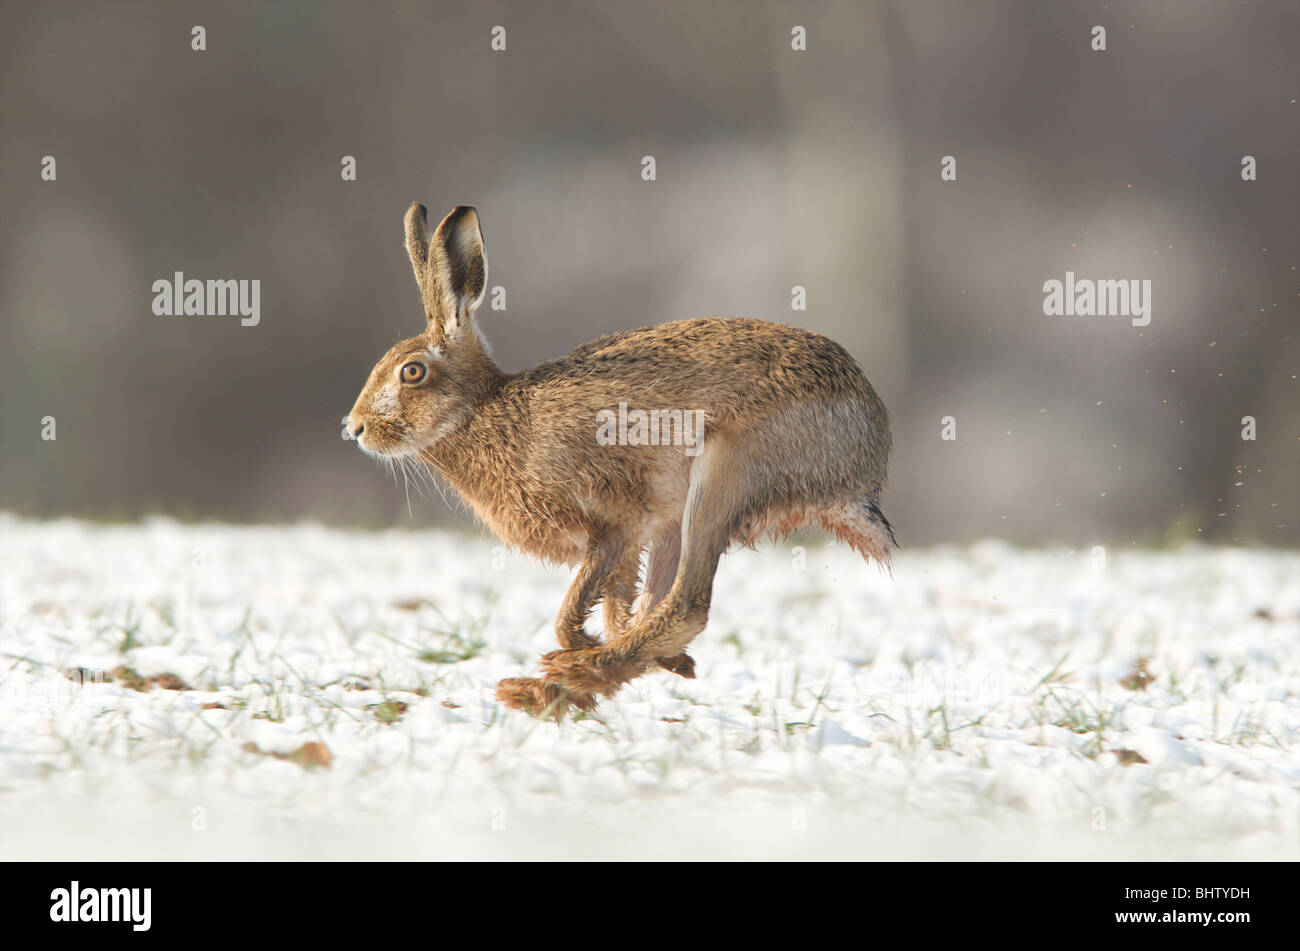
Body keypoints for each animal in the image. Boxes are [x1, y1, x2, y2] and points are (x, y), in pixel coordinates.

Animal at [345, 203, 895, 720]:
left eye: (412, 372)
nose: (354, 429)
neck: (483, 411)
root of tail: (866, 459)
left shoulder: (616, 520)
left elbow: (571, 611)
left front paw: (581, 653)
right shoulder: (632, 539)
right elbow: (615, 609)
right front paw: (635, 657)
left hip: (725, 475)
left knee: (687, 606)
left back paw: (554, 683)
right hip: (681, 517)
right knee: (662, 606)